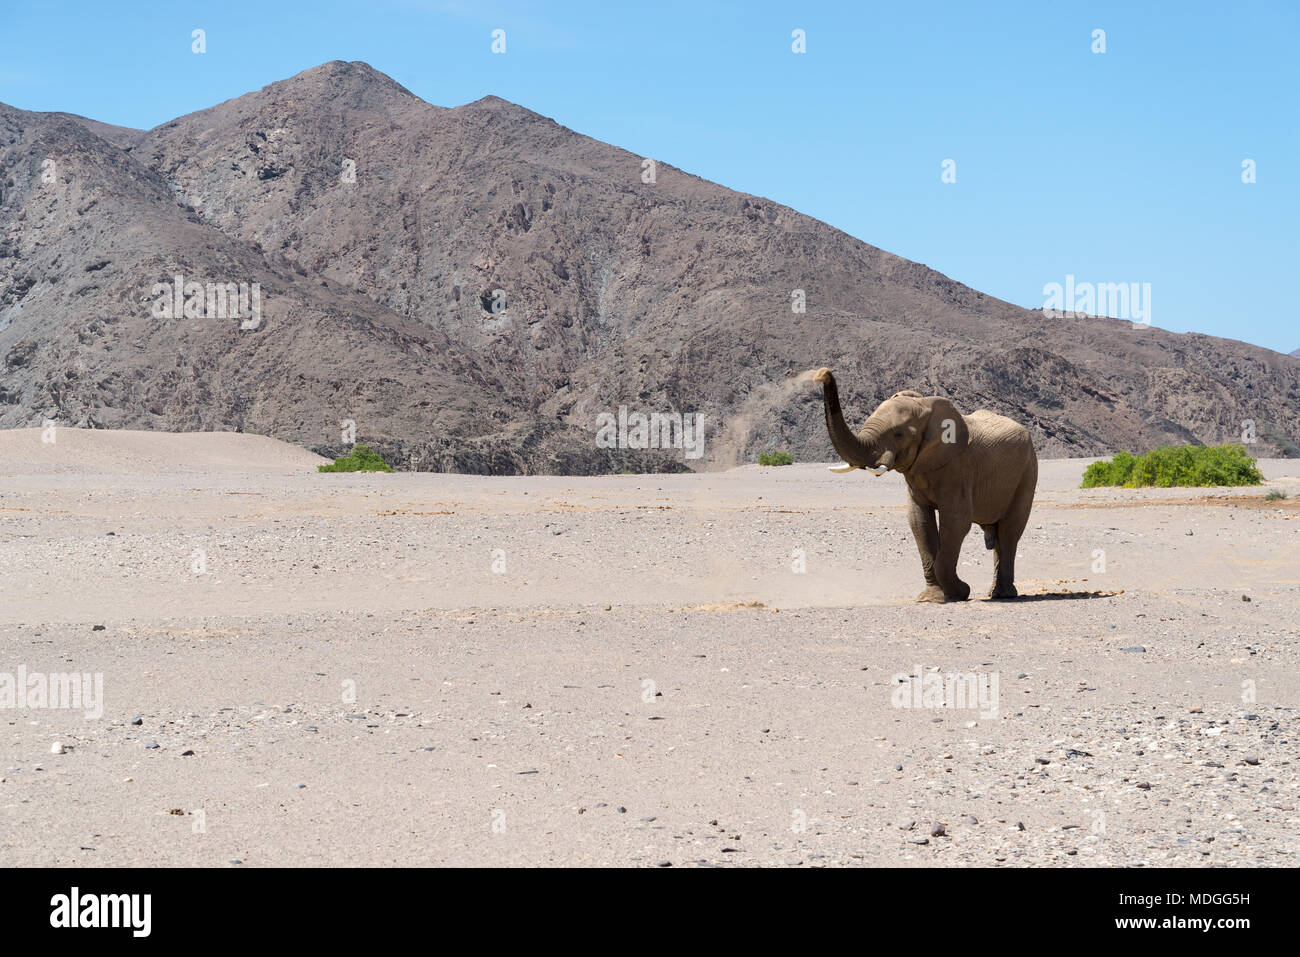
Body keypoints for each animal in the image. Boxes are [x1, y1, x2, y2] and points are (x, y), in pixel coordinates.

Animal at [811, 368, 1037, 603]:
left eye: (898, 434)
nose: (822, 374)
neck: (924, 405)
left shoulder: (958, 468)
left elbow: (956, 522)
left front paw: (959, 592)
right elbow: (919, 520)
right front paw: (932, 598)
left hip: (1027, 472)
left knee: (1009, 531)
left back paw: (1004, 595)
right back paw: (996, 594)